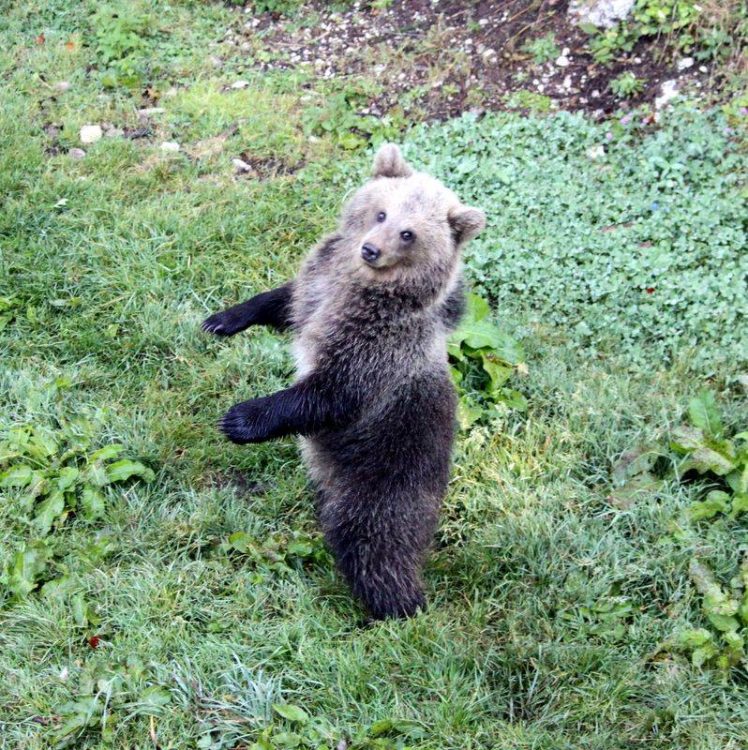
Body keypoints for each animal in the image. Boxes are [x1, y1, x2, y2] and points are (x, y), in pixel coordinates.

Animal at [203, 143, 485, 619]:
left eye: (409, 233)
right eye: (381, 212)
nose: (371, 249)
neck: (361, 289)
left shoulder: (375, 349)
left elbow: (330, 394)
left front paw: (241, 419)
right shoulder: (318, 288)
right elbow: (284, 302)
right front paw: (226, 318)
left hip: (385, 472)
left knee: (374, 543)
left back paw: (397, 606)